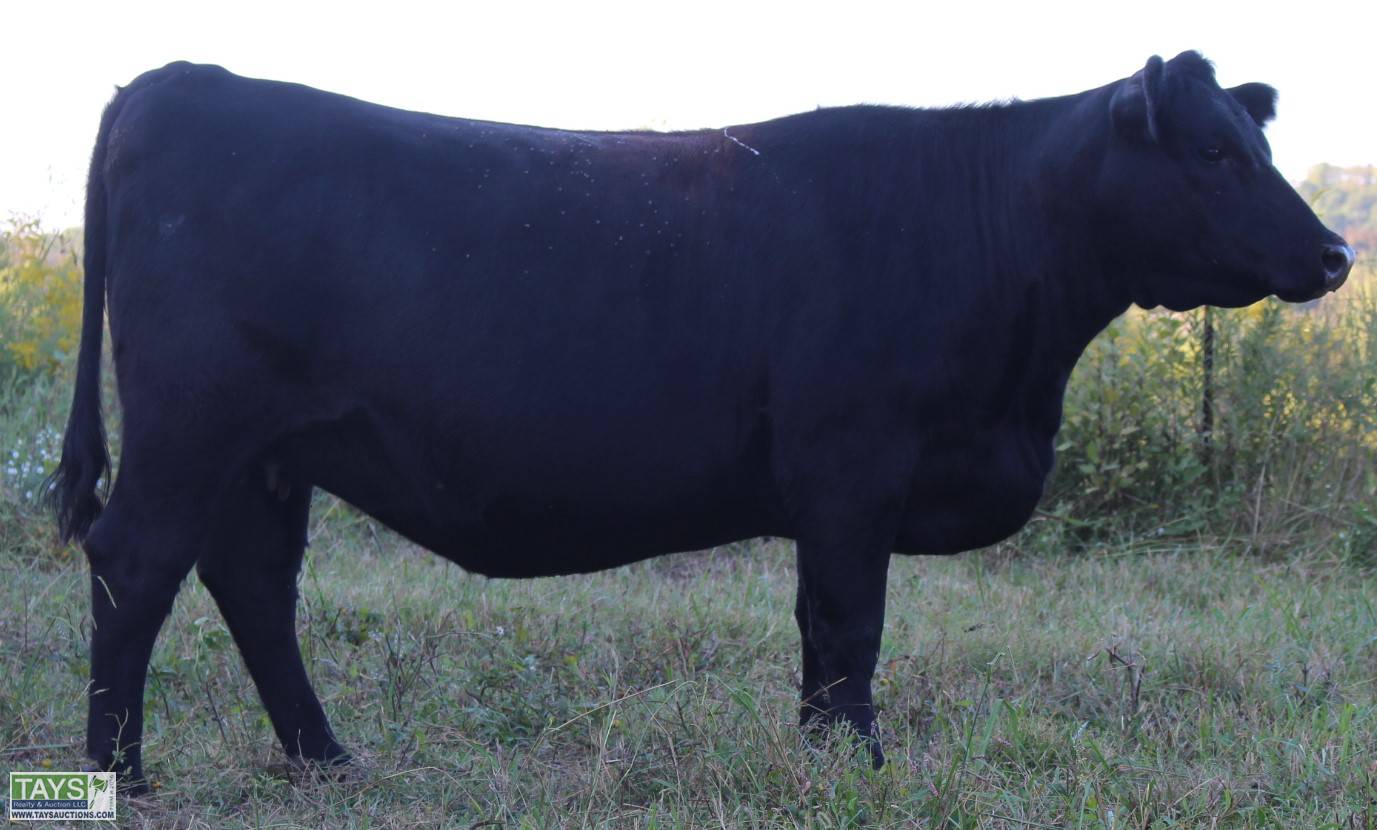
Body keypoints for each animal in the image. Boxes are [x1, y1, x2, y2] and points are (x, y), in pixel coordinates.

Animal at [47, 51, 1353, 791]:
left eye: (1256, 139)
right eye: (1217, 150)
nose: (1338, 252)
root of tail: (182, 79)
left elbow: (821, 633)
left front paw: (827, 756)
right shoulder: (852, 468)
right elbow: (849, 624)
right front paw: (857, 768)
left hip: (272, 452)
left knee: (252, 581)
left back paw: (325, 758)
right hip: (192, 428)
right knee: (136, 562)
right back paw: (121, 769)